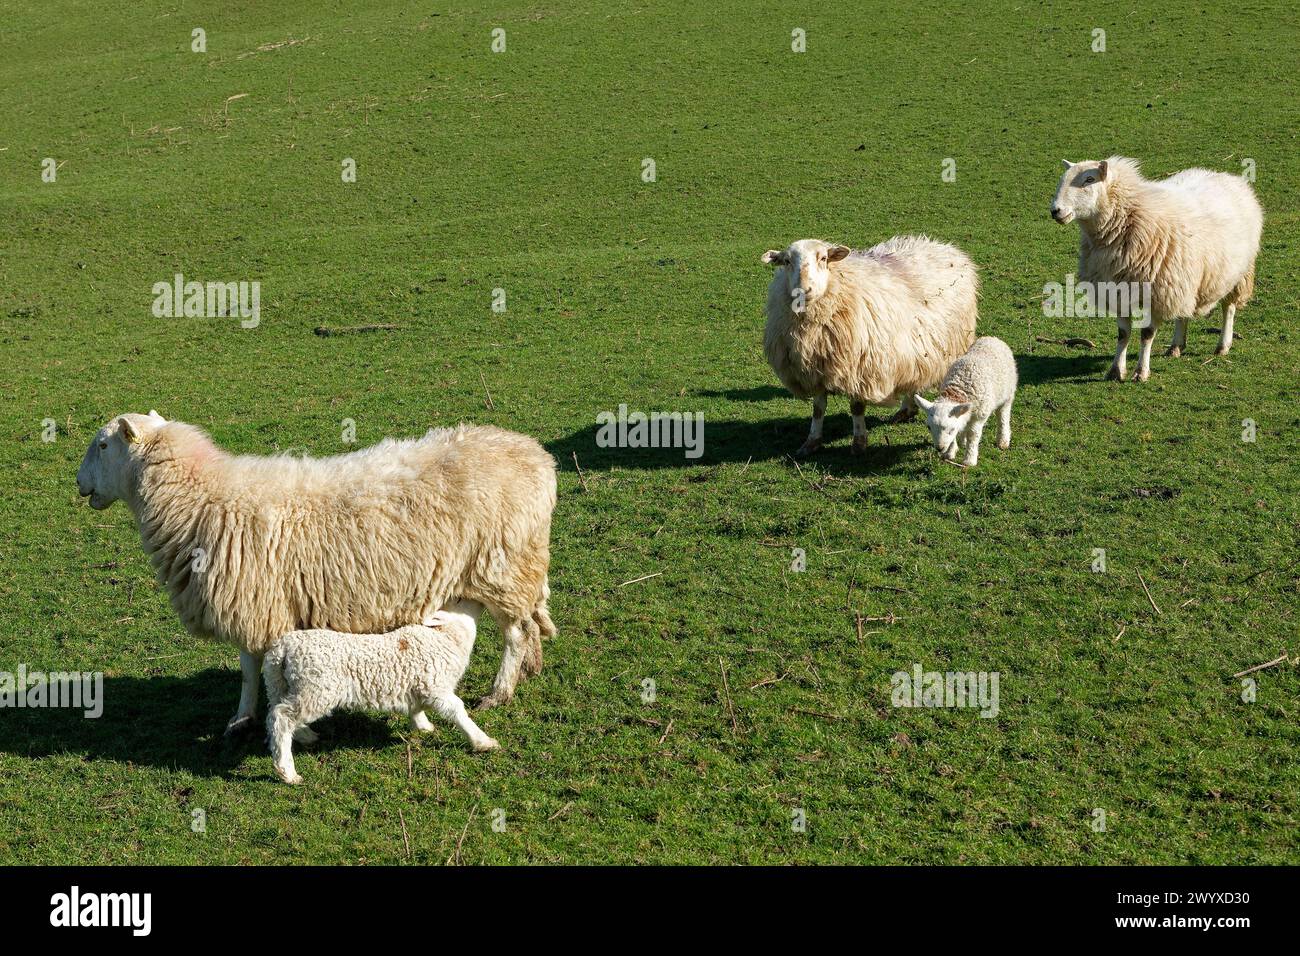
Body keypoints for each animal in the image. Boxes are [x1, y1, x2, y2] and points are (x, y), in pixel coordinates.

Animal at [75, 411, 557, 734]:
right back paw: (531, 669)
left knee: (516, 632)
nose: (78, 483)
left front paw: (258, 720)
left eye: (103, 446)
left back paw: (500, 692)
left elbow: (255, 670)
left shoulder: (258, 606)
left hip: (504, 567)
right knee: (532, 624)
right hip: (517, 568)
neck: (201, 497)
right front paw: (243, 718)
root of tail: (536, 455)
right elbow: (250, 669)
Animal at [263, 600, 495, 784]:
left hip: (281, 684)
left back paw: (305, 736)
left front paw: (423, 726)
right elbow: (457, 710)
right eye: (459, 601)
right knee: (282, 718)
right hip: (316, 688)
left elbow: (416, 707)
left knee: (278, 712)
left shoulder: (418, 685)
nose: (477, 599)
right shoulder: (436, 687)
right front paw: (483, 742)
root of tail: (282, 648)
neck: (447, 637)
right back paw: (287, 772)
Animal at [762, 236, 979, 456]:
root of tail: (945, 247)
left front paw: (859, 443)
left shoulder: (860, 368)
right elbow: (818, 409)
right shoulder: (815, 369)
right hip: (919, 348)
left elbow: (856, 407)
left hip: (950, 345)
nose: (803, 290)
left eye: (823, 258)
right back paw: (907, 409)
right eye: (787, 261)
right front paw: (812, 442)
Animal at [913, 336, 1017, 468]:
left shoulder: (979, 415)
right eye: (929, 427)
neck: (958, 391)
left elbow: (973, 435)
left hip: (1007, 394)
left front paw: (969, 460)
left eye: (951, 429)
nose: (939, 448)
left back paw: (1003, 441)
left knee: (1003, 416)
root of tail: (991, 338)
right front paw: (949, 453)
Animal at [1051, 157, 1263, 382]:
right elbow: (1123, 334)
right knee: (1184, 311)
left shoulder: (1156, 294)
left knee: (1228, 308)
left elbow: (1146, 334)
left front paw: (1141, 372)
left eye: (1089, 180)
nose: (1055, 210)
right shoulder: (1119, 291)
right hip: (1184, 277)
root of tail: (1229, 177)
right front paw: (1116, 370)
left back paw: (1223, 345)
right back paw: (1176, 345)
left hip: (1238, 272)